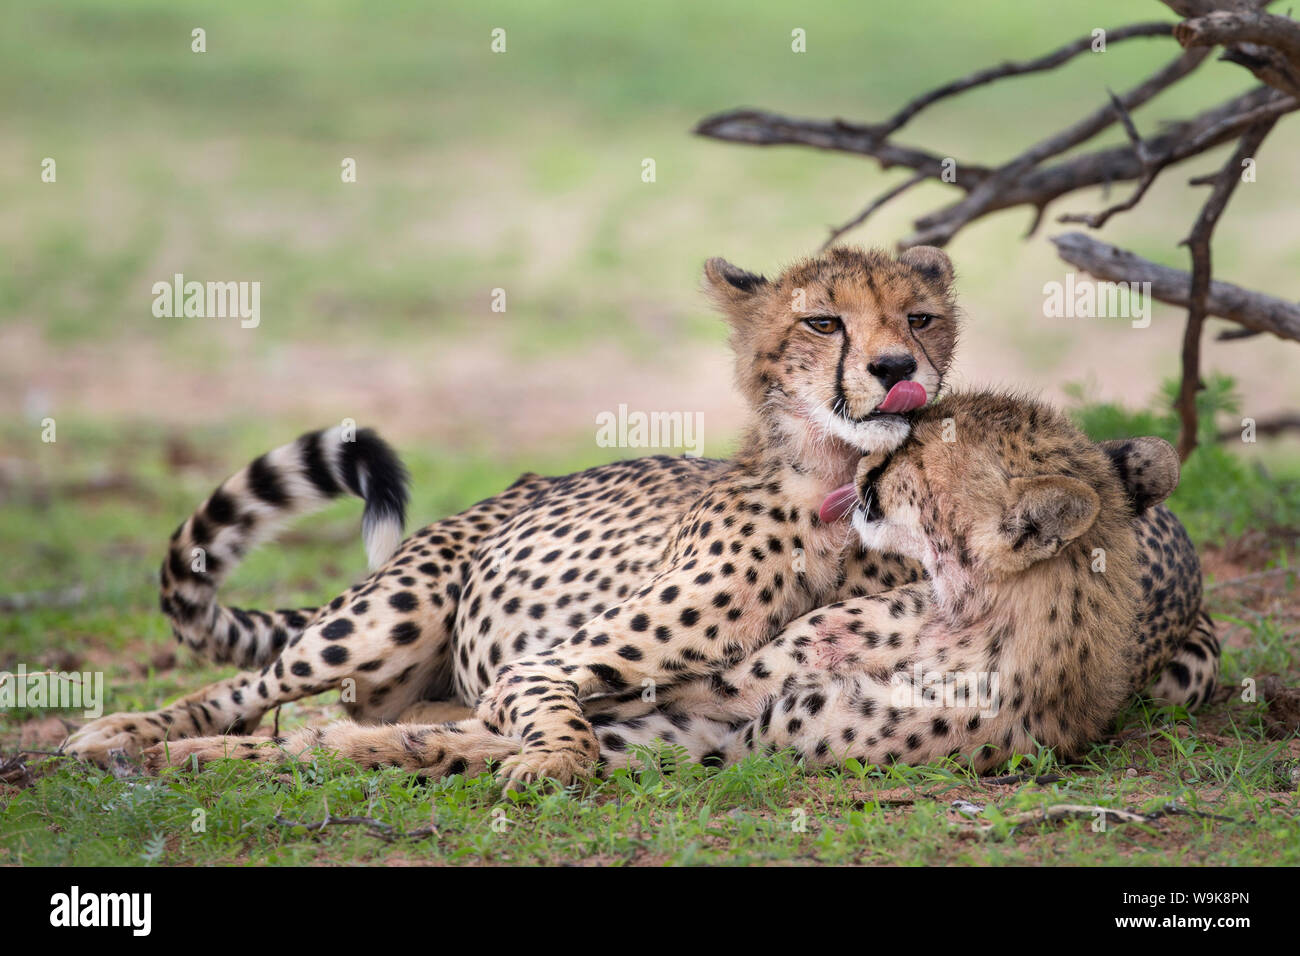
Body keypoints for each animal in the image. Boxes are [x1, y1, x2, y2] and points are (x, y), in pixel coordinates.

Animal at [62, 245, 1215, 784]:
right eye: (824, 321)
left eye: (922, 318)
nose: (898, 370)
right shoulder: (576, 674)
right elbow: (533, 718)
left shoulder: (708, 726)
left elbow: (452, 743)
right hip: (388, 612)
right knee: (254, 681)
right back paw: (122, 729)